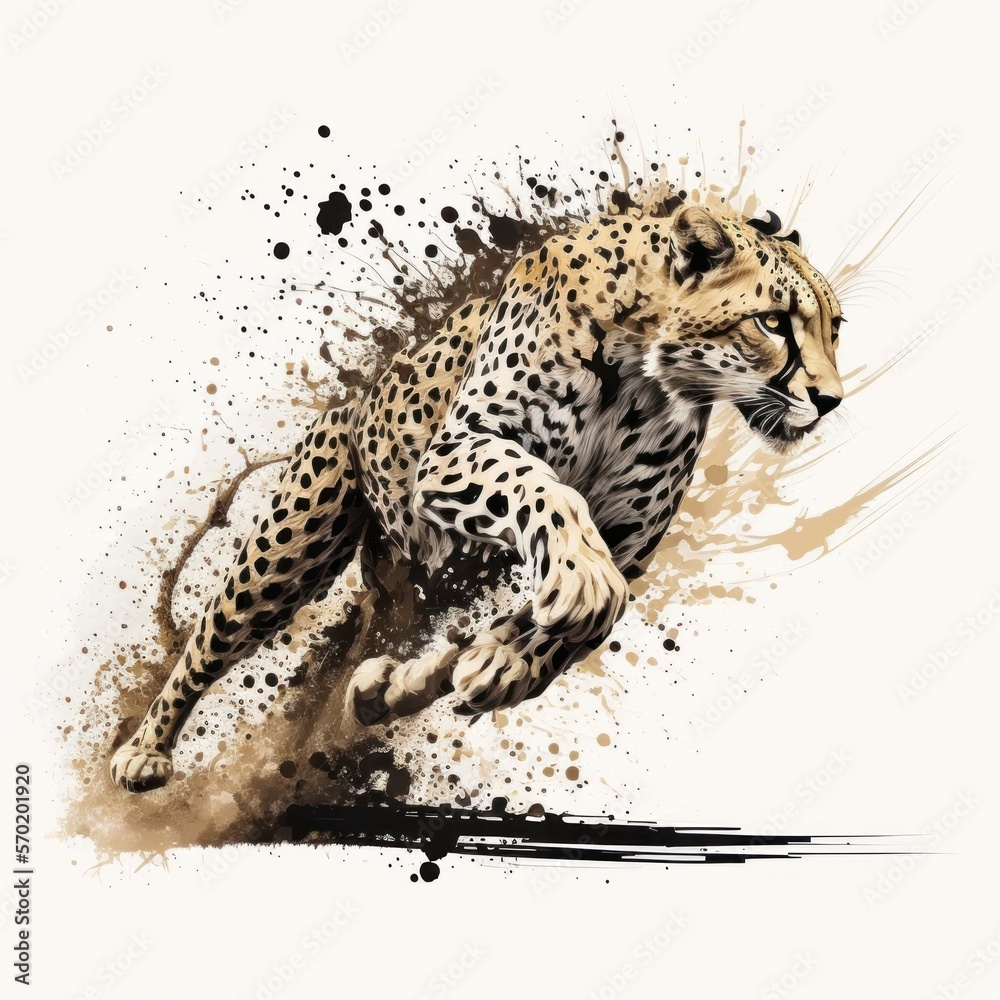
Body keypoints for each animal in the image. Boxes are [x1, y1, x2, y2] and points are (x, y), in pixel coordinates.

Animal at [110, 199, 845, 792]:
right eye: (773, 323)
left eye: (835, 329)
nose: (832, 400)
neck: (646, 376)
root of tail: (348, 404)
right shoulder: (458, 450)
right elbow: (543, 492)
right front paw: (578, 583)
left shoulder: (631, 543)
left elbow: (569, 626)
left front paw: (508, 663)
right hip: (292, 546)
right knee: (208, 639)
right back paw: (144, 753)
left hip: (418, 584)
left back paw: (398, 684)